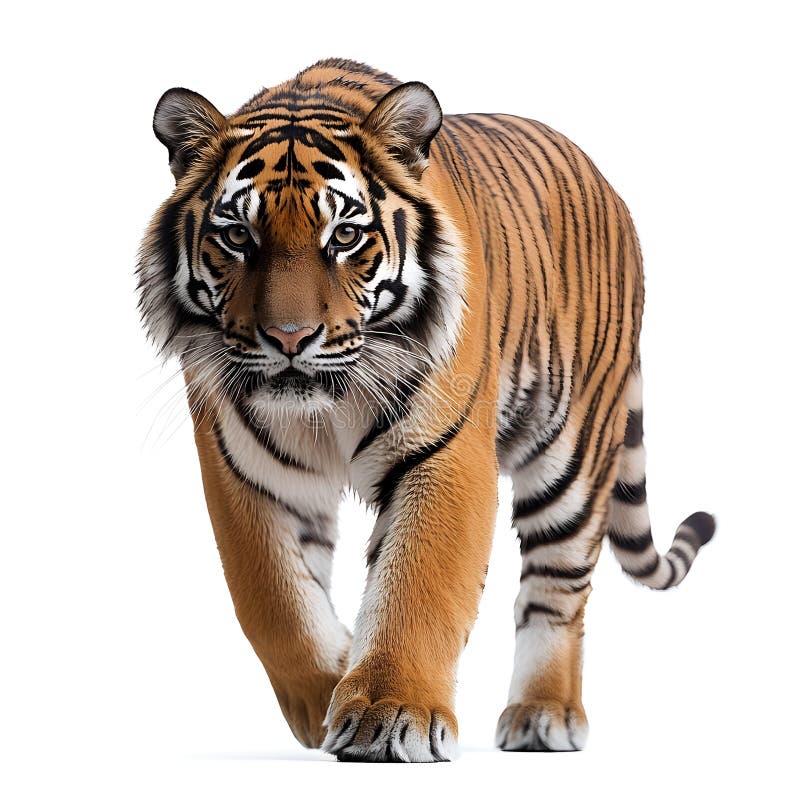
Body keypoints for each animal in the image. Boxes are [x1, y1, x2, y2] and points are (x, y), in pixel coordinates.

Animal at [138, 58, 714, 762]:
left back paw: (543, 715)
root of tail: (601, 176)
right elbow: (273, 599)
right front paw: (326, 694)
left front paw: (389, 714)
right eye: (238, 236)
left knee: (557, 588)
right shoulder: (246, 468)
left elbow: (419, 584)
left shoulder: (445, 453)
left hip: (573, 453)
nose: (289, 339)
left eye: (345, 236)